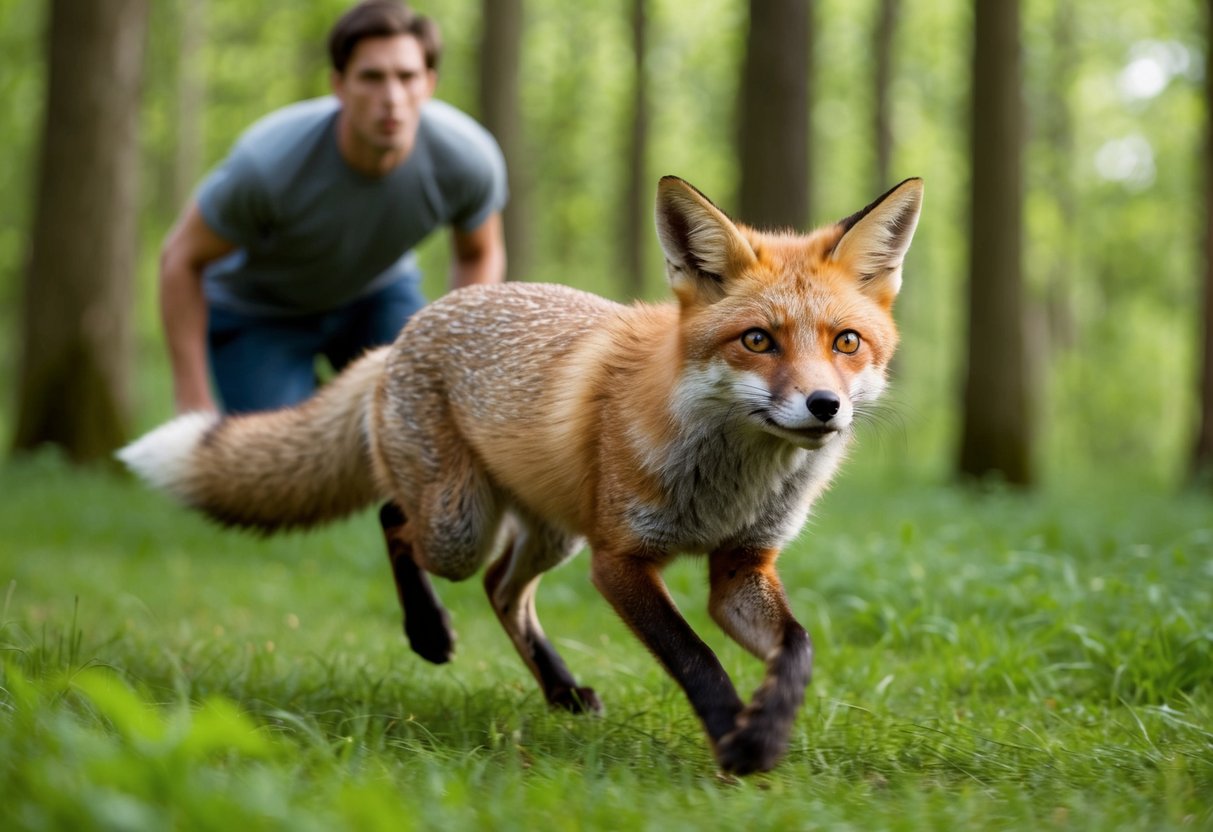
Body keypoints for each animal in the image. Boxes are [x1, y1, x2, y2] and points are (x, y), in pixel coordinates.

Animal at [119, 175, 923, 774]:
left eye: (846, 343)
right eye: (757, 341)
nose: (823, 407)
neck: (730, 485)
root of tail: (404, 334)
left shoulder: (740, 566)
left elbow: (797, 650)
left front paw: (767, 728)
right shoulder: (619, 559)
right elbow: (694, 657)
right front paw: (737, 741)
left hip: (550, 532)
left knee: (501, 589)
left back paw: (561, 691)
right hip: (462, 524)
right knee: (399, 523)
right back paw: (427, 632)